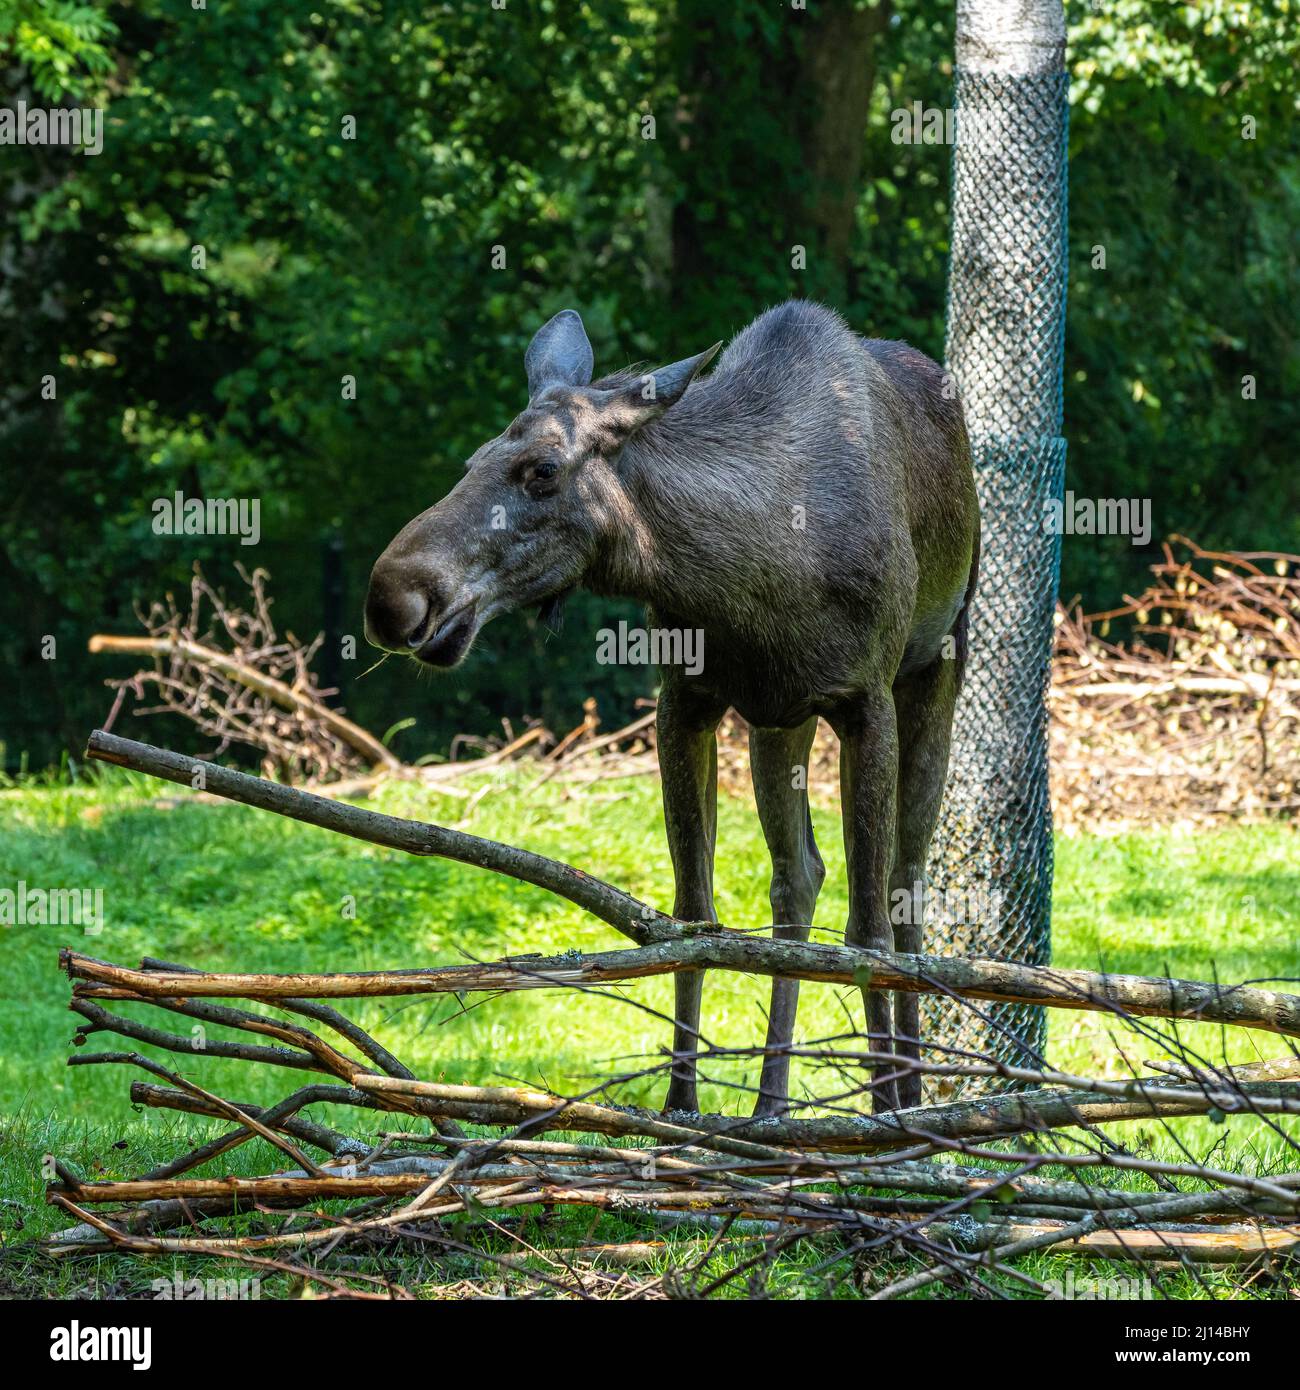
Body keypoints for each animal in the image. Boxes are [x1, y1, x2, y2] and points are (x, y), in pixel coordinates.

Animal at [365, 300, 979, 1117]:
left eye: (542, 471)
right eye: (472, 460)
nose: (393, 595)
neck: (749, 581)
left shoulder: (865, 699)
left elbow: (869, 929)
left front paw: (890, 1117)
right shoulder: (685, 698)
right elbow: (693, 916)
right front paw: (681, 1103)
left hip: (940, 658)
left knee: (904, 879)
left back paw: (909, 1092)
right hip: (781, 718)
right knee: (798, 878)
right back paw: (770, 1104)